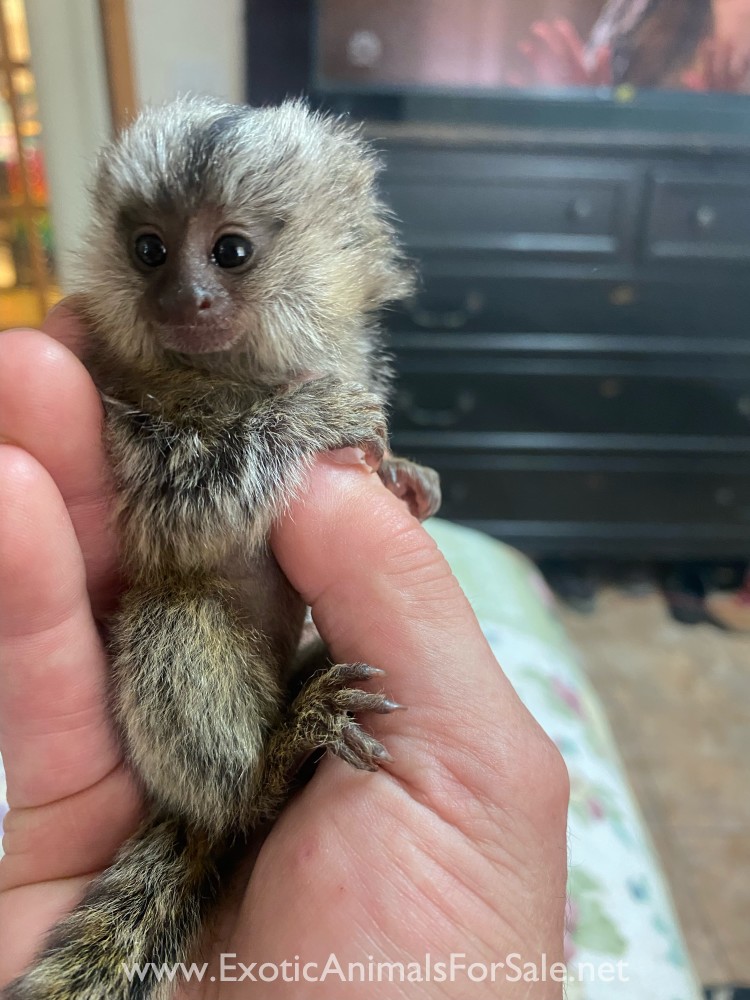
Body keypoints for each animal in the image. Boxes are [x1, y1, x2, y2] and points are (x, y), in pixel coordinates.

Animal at [2, 97, 440, 1000]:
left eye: (229, 252)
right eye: (150, 250)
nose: (183, 296)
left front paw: (407, 476)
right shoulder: (121, 405)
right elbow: (181, 507)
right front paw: (308, 421)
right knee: (173, 615)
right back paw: (272, 767)